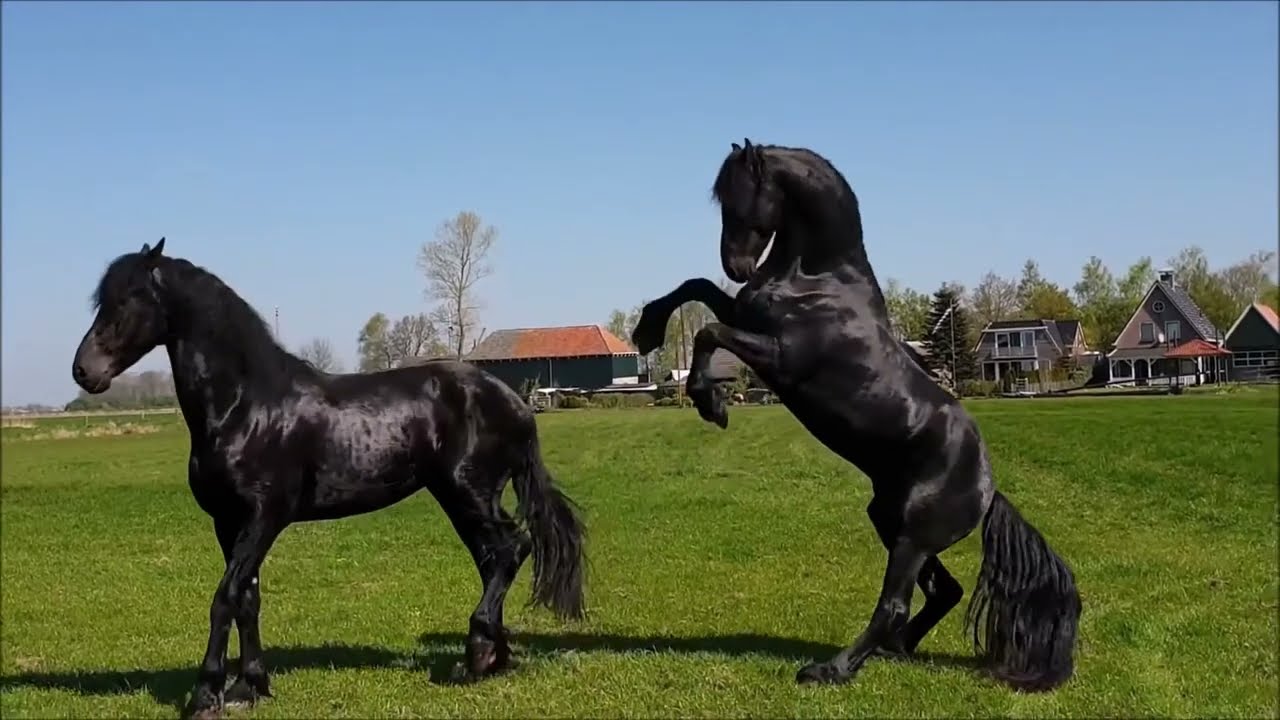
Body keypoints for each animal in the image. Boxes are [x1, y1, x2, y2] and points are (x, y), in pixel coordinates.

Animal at [71, 239, 587, 718]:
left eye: (129, 299)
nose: (83, 371)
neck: (246, 407)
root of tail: (515, 402)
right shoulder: (228, 522)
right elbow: (248, 598)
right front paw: (248, 687)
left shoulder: (263, 518)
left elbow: (225, 596)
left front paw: (207, 695)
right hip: (461, 498)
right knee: (493, 559)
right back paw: (489, 659)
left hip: (469, 493)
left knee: (512, 549)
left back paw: (480, 651)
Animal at [631, 139, 1081, 691]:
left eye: (742, 198)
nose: (737, 267)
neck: (819, 278)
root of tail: (988, 487)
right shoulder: (746, 315)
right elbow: (696, 289)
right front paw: (648, 332)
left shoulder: (779, 357)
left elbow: (708, 331)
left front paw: (709, 401)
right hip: (889, 520)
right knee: (943, 592)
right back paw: (894, 650)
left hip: (913, 535)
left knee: (894, 604)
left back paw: (832, 669)